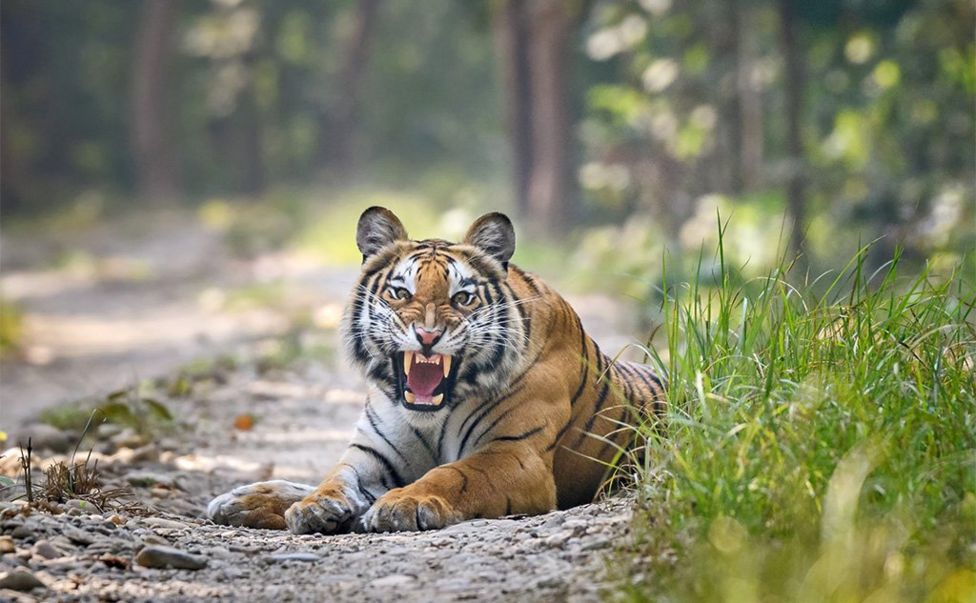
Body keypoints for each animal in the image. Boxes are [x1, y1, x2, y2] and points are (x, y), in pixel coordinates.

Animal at [207, 207, 665, 533]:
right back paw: (240, 500)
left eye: (462, 298)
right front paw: (315, 506)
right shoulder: (373, 453)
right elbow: (335, 477)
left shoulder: (514, 453)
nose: (427, 335)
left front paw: (401, 504)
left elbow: (453, 474)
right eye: (399, 292)